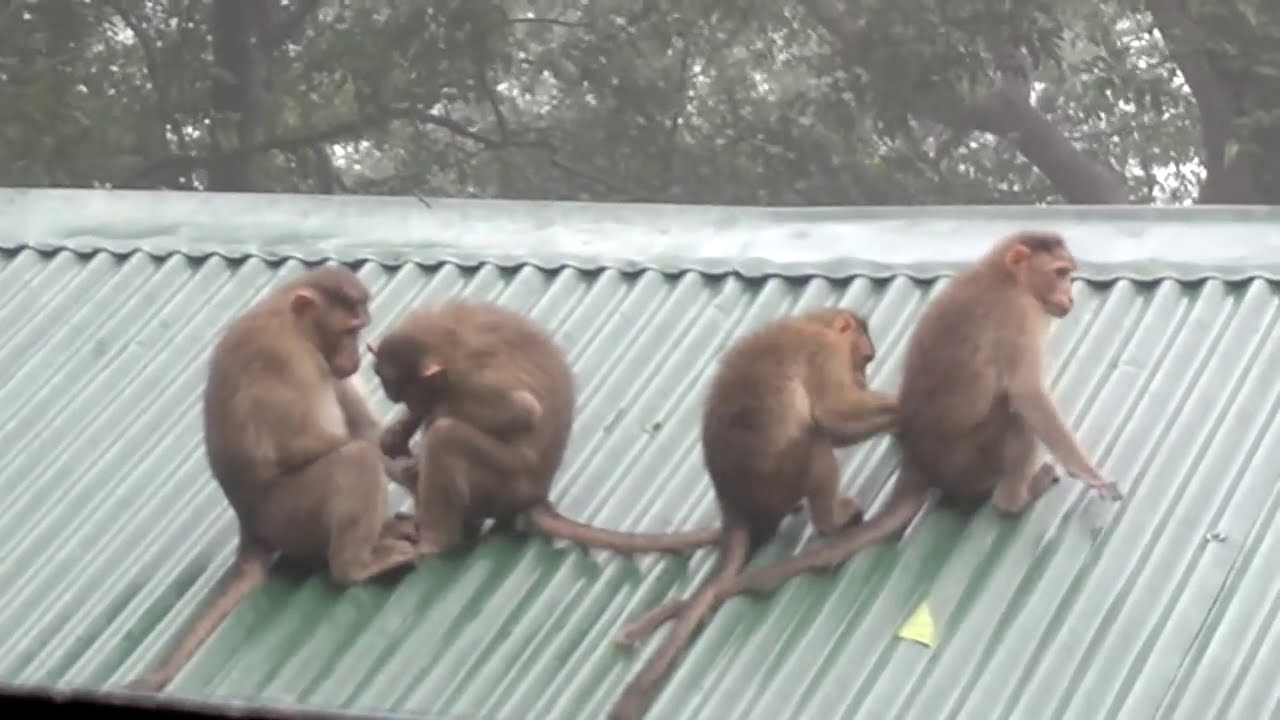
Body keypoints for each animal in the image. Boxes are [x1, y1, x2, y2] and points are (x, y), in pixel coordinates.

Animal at [122, 266, 419, 694]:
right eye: (348, 330)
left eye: (360, 329)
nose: (354, 355)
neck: (294, 322)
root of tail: (251, 527)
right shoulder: (286, 358)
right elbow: (301, 443)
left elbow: (365, 429)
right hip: (289, 516)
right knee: (353, 459)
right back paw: (355, 565)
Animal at [366, 298, 723, 556]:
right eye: (387, 385)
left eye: (404, 388)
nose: (400, 399)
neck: (442, 338)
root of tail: (536, 494)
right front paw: (401, 430)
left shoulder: (470, 378)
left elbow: (522, 412)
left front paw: (427, 418)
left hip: (505, 484)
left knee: (448, 437)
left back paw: (437, 538)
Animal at [607, 307, 898, 720]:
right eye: (865, 358)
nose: (863, 378)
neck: (813, 324)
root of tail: (734, 505)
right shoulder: (824, 353)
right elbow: (832, 413)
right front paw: (897, 407)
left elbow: (837, 425)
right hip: (781, 473)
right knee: (813, 436)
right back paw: (830, 519)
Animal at [673, 230, 1127, 606]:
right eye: (1060, 274)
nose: (1070, 298)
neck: (1005, 276)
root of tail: (920, 464)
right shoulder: (1019, 316)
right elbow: (1028, 395)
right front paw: (1091, 475)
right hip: (970, 464)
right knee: (1014, 416)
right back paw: (1014, 500)